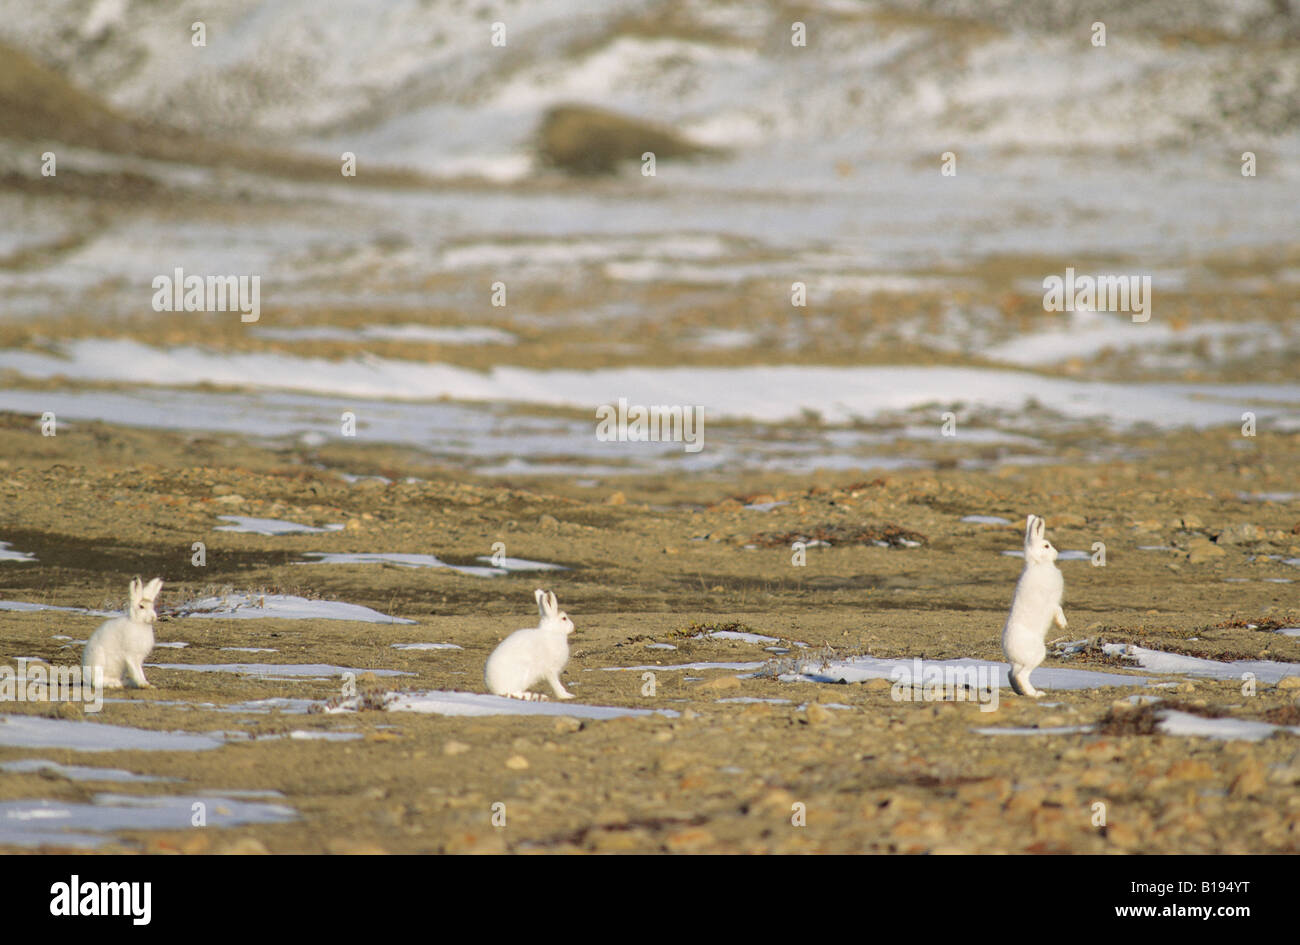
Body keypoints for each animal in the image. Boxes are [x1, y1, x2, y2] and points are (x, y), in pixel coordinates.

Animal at [1001, 515, 1066, 698]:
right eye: (1046, 546)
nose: (1056, 553)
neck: (1038, 563)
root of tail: (1011, 654)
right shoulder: (1051, 602)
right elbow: (1058, 609)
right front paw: (1062, 625)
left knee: (1011, 674)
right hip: (1037, 654)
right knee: (1020, 675)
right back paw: (1035, 694)